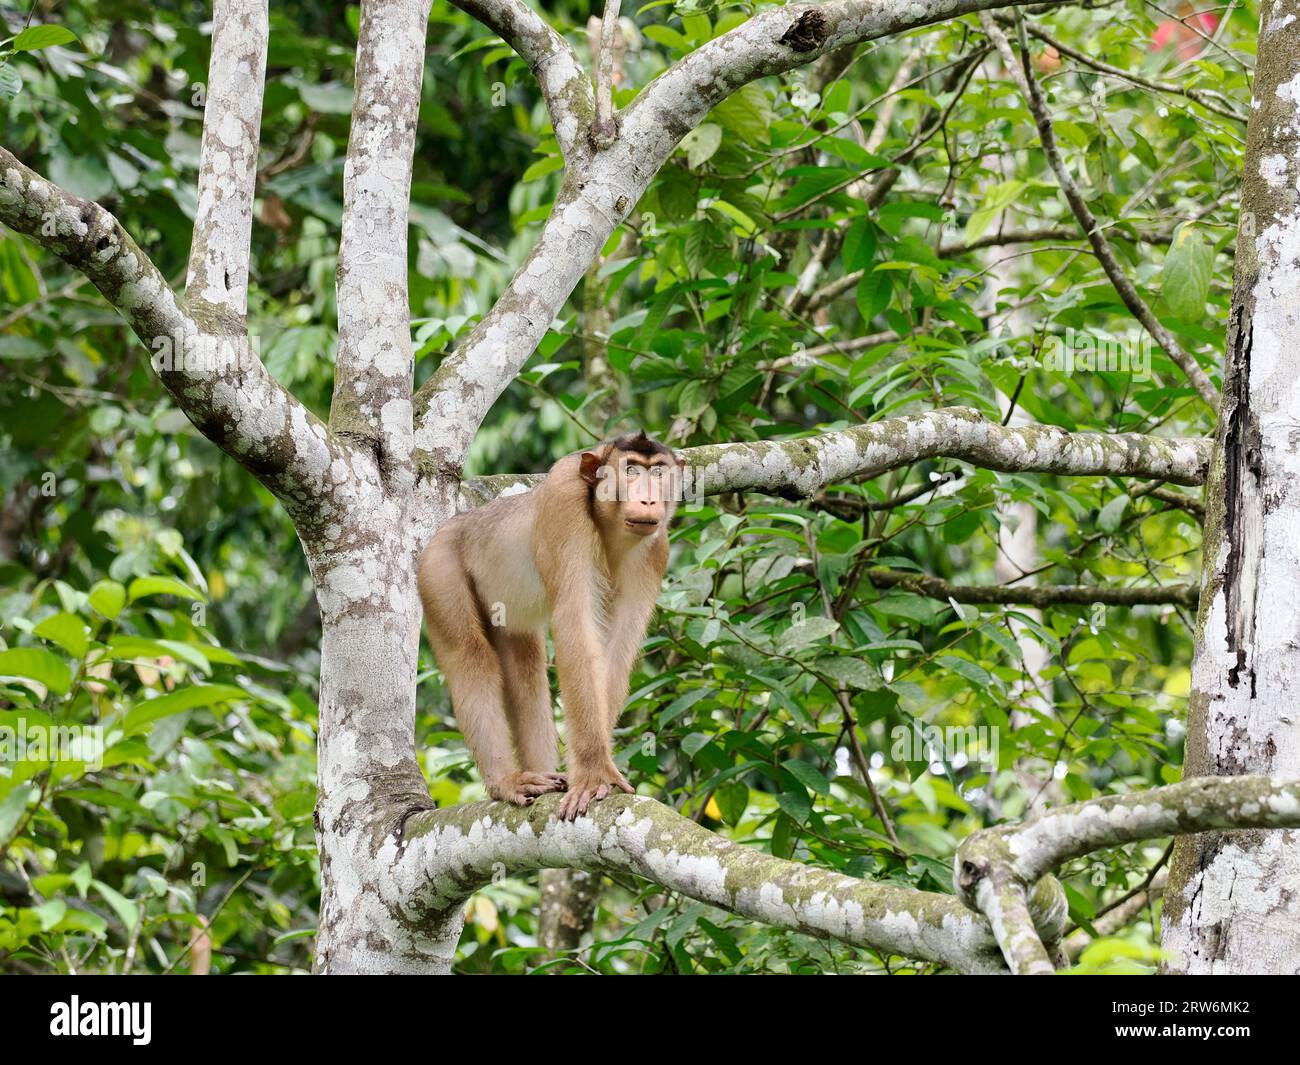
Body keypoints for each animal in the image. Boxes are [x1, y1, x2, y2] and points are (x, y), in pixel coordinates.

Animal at [418, 431, 683, 821]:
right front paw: (593, 771)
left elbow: (616, 652)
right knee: (469, 653)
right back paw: (505, 781)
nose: (650, 499)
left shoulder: (656, 549)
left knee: (525, 665)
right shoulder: (564, 501)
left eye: (659, 472)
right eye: (632, 470)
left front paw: (594, 769)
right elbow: (574, 623)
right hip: (437, 567)